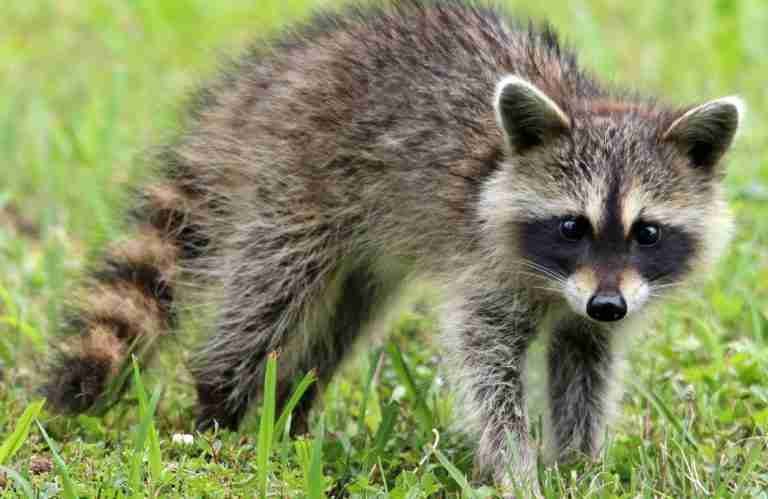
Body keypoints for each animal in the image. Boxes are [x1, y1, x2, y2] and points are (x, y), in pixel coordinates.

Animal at [41, 0, 743, 490]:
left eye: (647, 233)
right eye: (573, 226)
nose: (607, 306)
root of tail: (273, 74)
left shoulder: (598, 302)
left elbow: (585, 365)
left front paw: (579, 465)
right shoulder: (487, 267)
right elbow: (486, 364)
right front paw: (515, 467)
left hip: (363, 246)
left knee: (342, 320)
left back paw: (292, 411)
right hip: (295, 181)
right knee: (268, 296)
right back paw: (218, 410)